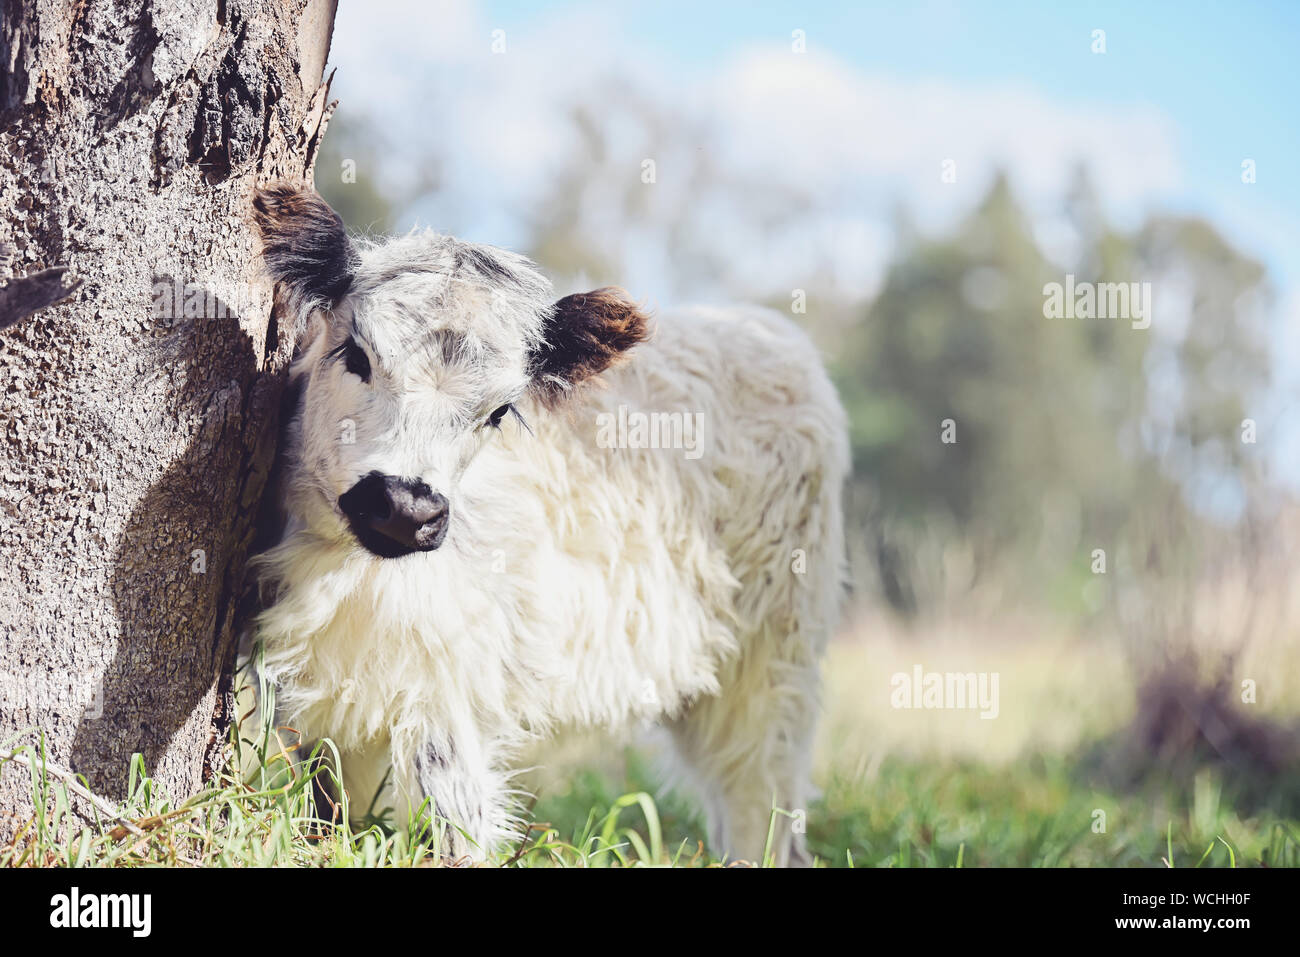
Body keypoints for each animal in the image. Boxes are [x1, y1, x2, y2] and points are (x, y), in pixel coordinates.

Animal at [245, 185, 849, 866]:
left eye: (500, 411)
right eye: (355, 354)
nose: (406, 507)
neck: (350, 578)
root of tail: (760, 327)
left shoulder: (447, 696)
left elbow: (454, 832)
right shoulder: (325, 705)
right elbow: (335, 815)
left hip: (773, 665)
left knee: (760, 807)